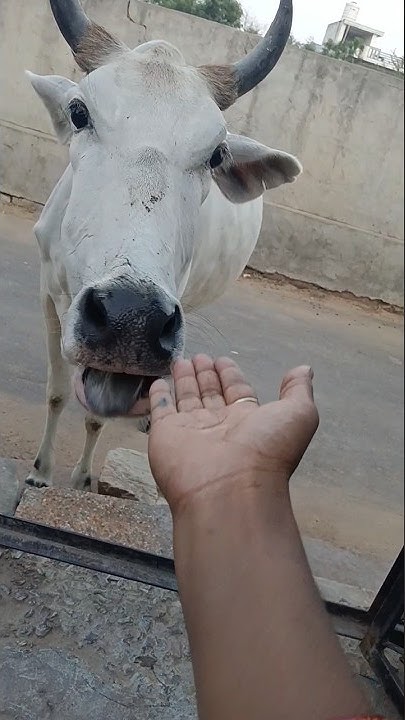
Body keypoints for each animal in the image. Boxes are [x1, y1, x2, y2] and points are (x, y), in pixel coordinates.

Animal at [25, 0, 302, 490]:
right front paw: (41, 473)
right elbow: (58, 393)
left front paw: (82, 481)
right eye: (79, 113)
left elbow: (96, 417)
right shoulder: (48, 294)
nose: (131, 318)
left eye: (217, 154)